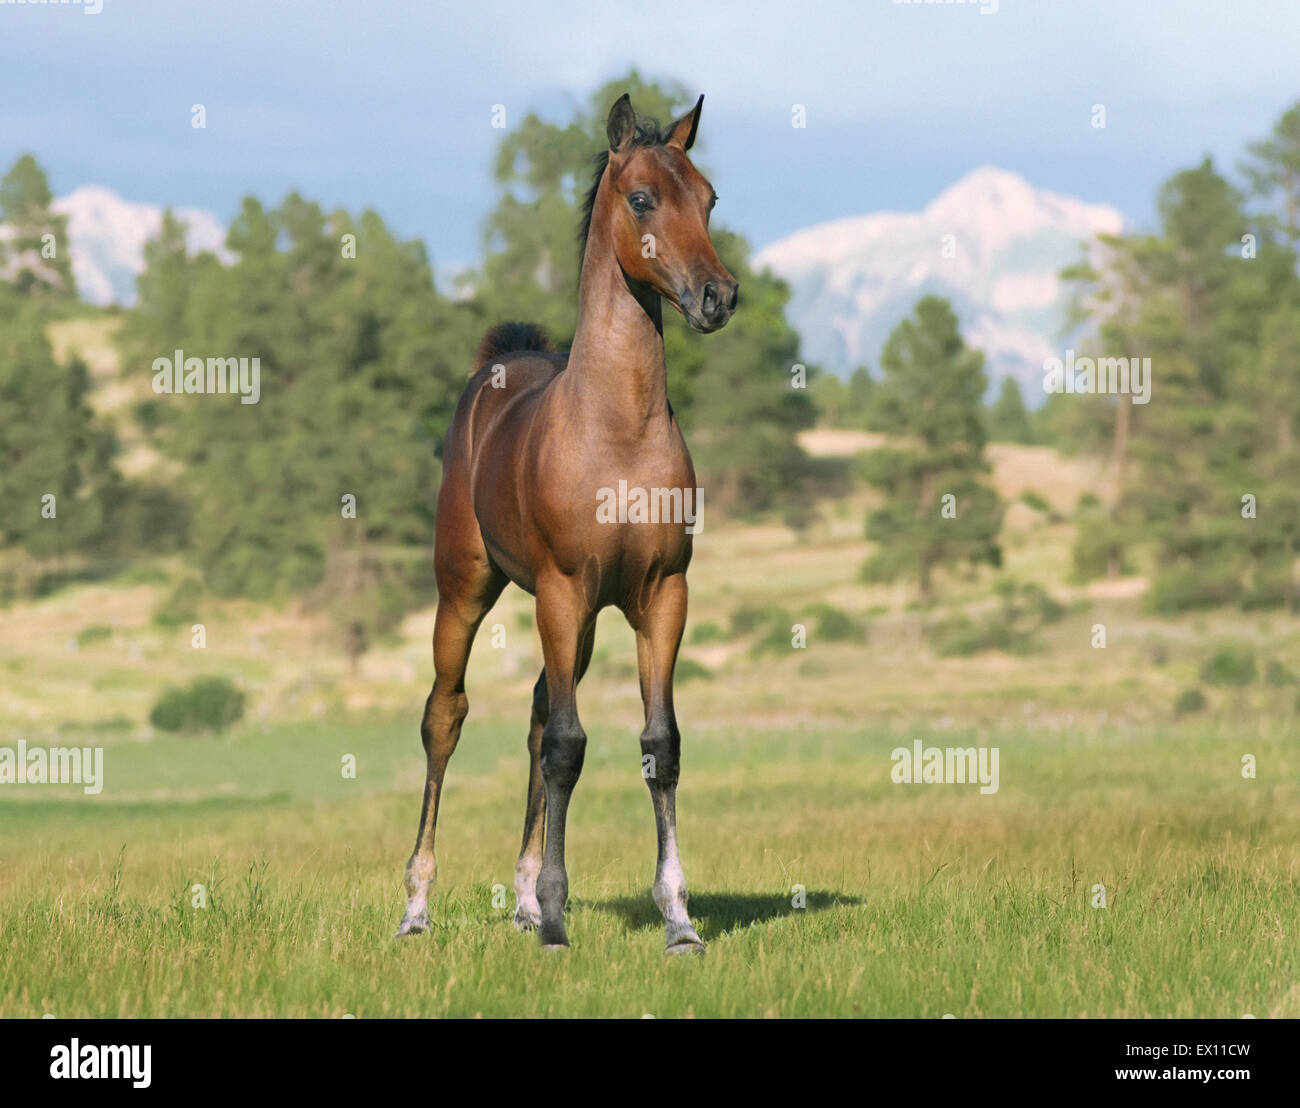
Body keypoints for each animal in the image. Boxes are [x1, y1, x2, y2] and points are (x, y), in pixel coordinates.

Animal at [396, 93, 738, 953]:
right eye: (642, 198)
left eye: (710, 197)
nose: (718, 296)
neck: (617, 429)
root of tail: (500, 359)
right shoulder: (561, 589)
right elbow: (567, 747)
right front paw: (555, 918)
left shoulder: (662, 595)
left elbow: (657, 745)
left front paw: (677, 918)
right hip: (467, 590)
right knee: (446, 716)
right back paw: (416, 908)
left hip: (575, 625)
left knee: (535, 712)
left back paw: (517, 900)